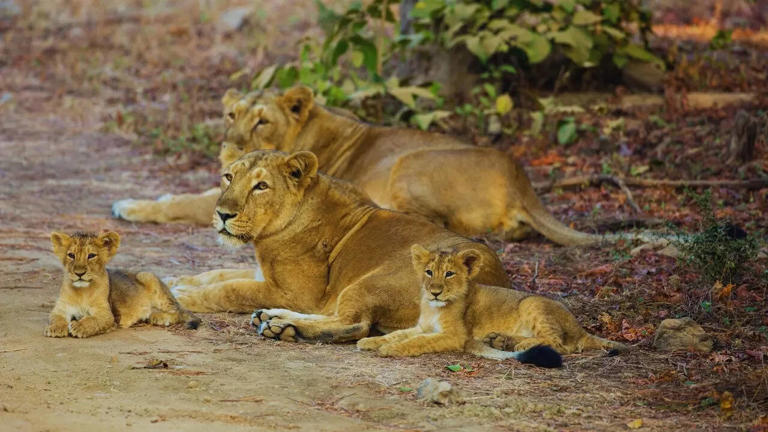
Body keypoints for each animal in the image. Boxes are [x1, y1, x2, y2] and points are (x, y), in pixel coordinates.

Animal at [45, 231, 200, 338]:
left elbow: (93, 320)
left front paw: (79, 327)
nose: (79, 273)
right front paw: (55, 328)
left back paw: (159, 317)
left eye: (91, 256)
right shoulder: (60, 308)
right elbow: (55, 317)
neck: (82, 292)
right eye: (71, 255)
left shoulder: (107, 314)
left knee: (178, 311)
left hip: (147, 276)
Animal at [112, 86, 600, 246]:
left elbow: (185, 201)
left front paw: (130, 206)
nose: (229, 147)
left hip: (409, 163)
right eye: (231, 114)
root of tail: (520, 176)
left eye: (263, 120)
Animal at [168, 150, 510, 343]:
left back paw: (284, 329)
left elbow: (229, 289)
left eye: (261, 186)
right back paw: (273, 317)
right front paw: (176, 280)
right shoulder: (266, 276)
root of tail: (496, 282)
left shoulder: (297, 293)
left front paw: (180, 295)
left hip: (371, 282)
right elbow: (218, 273)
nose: (222, 214)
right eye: (228, 177)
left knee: (355, 325)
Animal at [357, 244, 625, 362]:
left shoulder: (455, 336)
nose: (435, 292)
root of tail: (580, 328)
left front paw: (391, 349)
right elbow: (398, 333)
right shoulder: (421, 326)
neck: (433, 308)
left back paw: (516, 343)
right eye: (429, 272)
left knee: (560, 344)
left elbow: (418, 341)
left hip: (531, 303)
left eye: (449, 274)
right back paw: (500, 340)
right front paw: (370, 341)